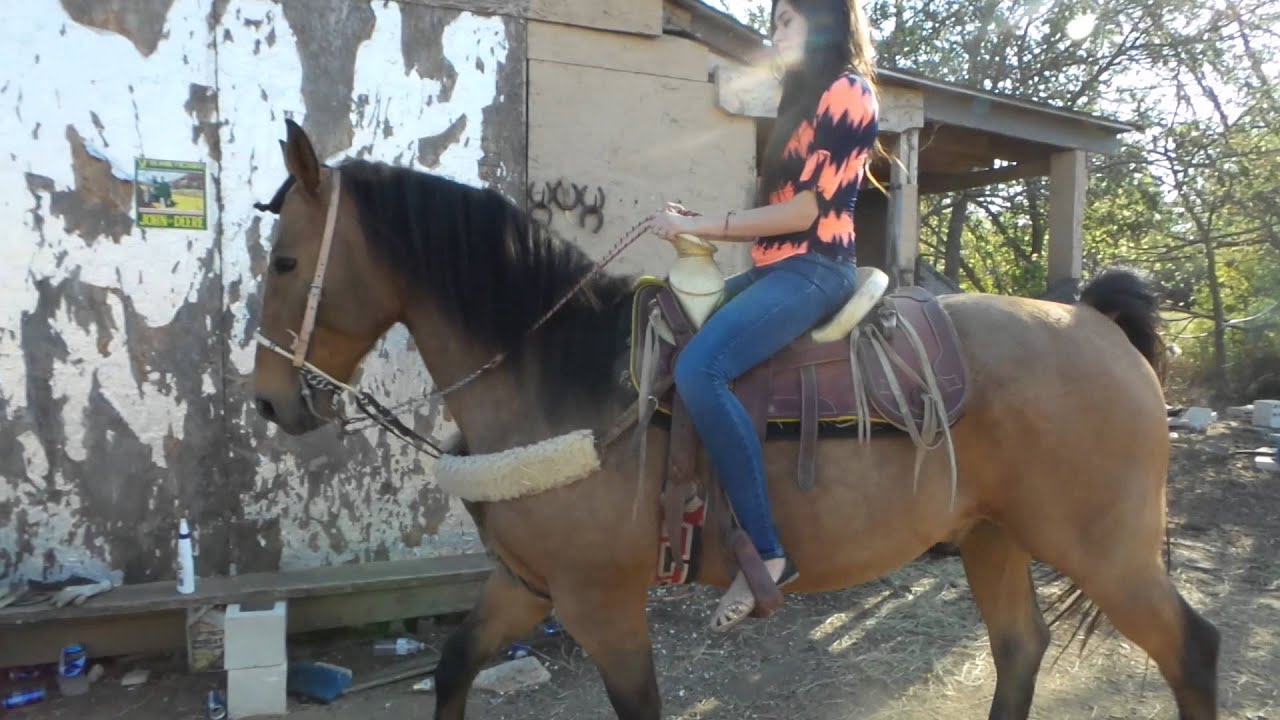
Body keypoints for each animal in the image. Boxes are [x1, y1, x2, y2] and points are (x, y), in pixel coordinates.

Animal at [250, 119, 1219, 720]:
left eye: (286, 261)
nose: (267, 399)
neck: (554, 372)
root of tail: (1096, 322)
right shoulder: (527, 587)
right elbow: (452, 669)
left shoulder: (601, 604)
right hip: (992, 536)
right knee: (1022, 647)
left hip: (1103, 548)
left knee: (1192, 648)